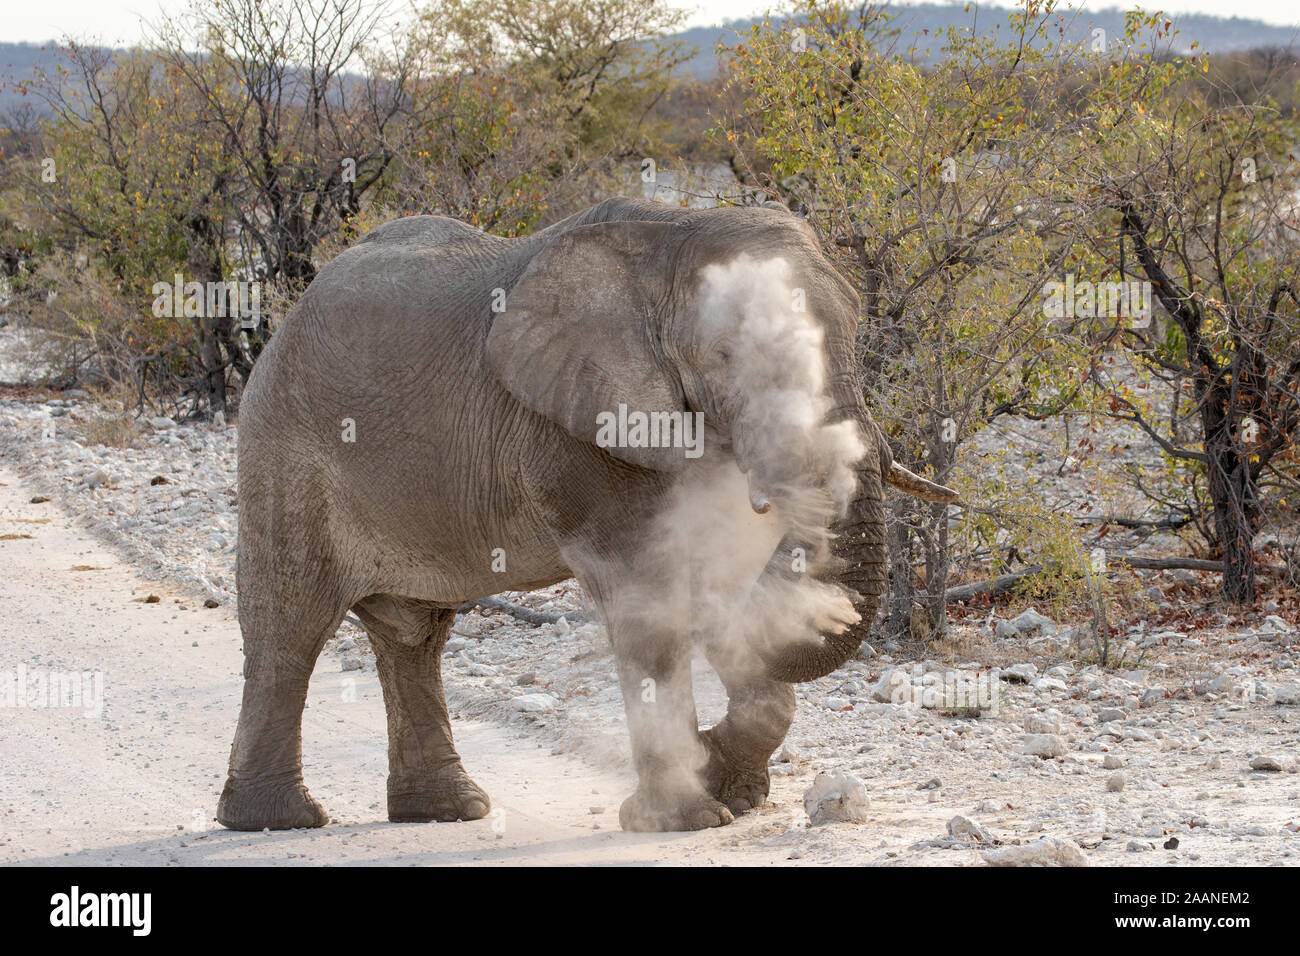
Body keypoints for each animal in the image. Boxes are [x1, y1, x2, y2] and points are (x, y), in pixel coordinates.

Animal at [215, 197, 958, 834]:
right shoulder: (576, 430)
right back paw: (276, 821)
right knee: (290, 626)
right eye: (725, 357)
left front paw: (726, 784)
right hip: (283, 447)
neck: (673, 235)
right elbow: (645, 594)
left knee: (412, 635)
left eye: (858, 334)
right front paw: (688, 815)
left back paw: (447, 810)